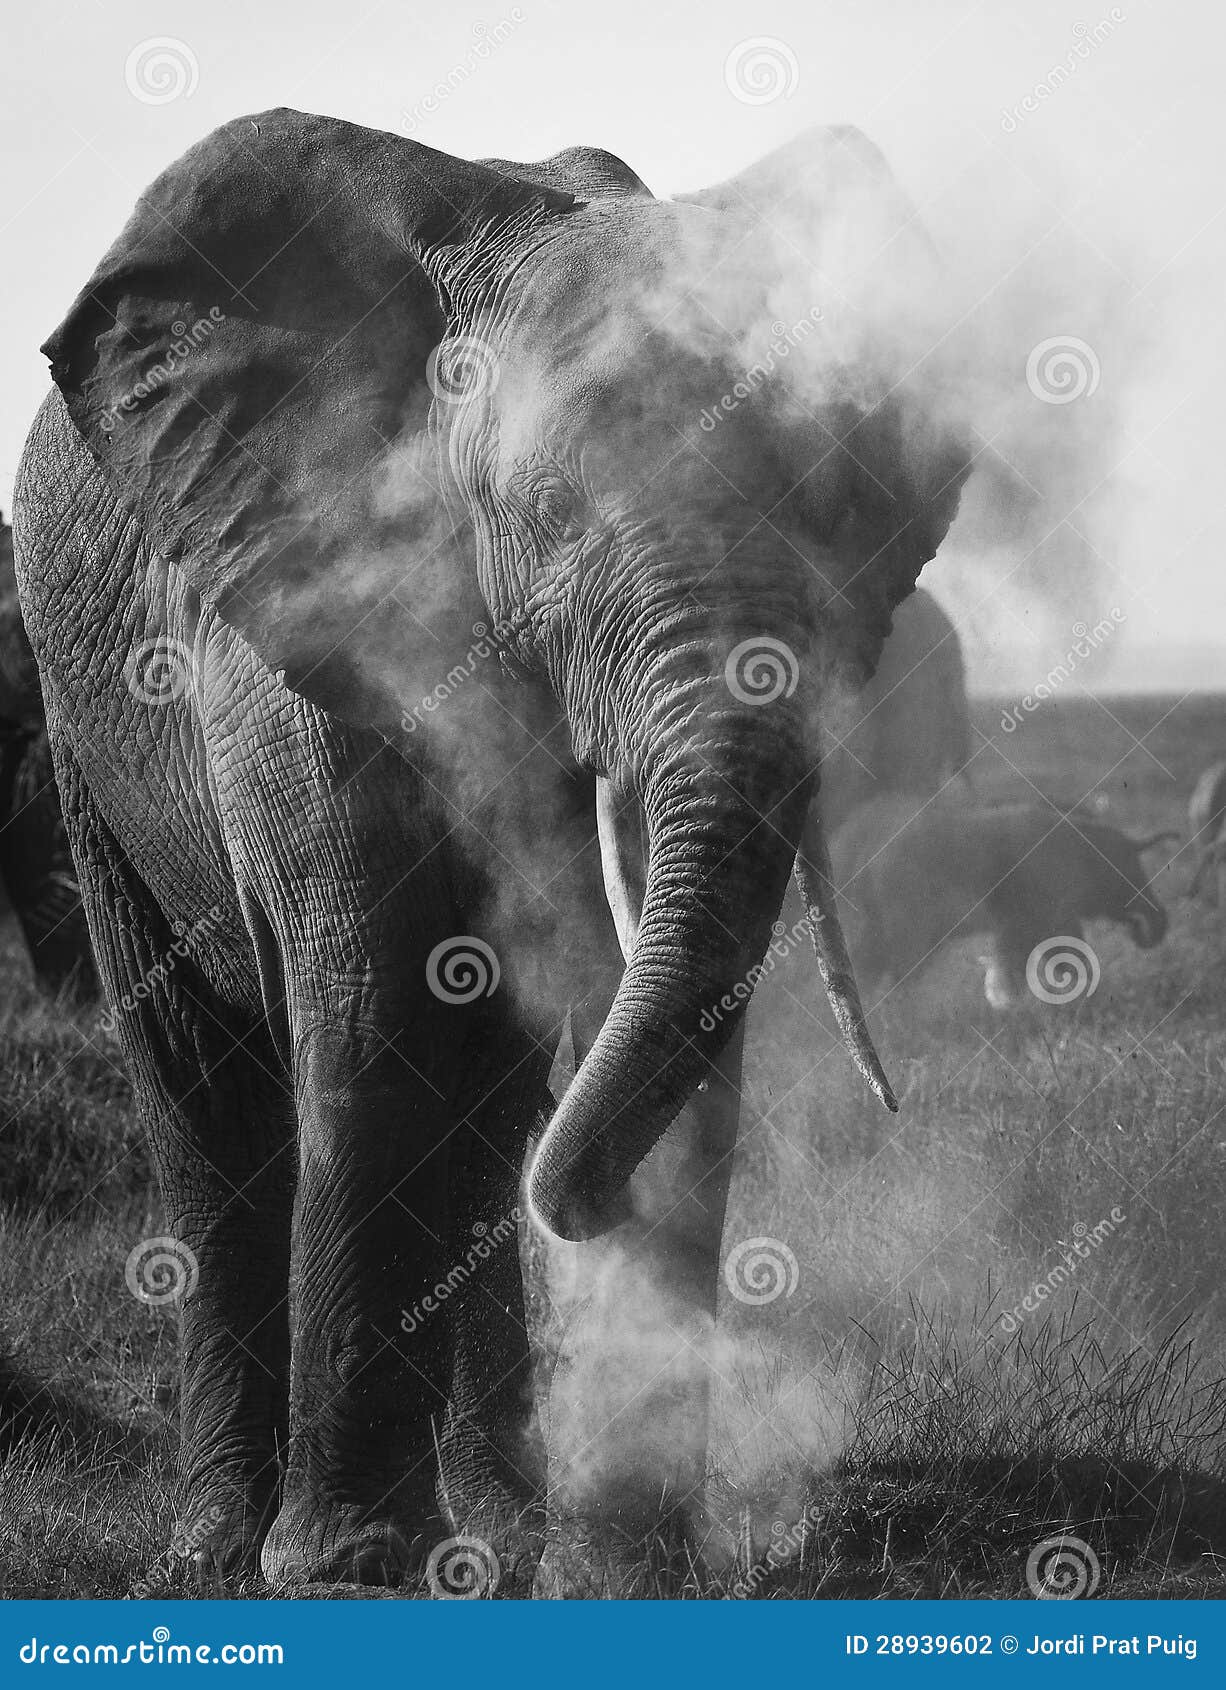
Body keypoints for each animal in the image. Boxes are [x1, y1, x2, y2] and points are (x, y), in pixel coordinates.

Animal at [833, 794, 1174, 1007]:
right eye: (1128, 864)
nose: (1160, 920)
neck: (1078, 853)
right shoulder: (1052, 920)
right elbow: (1069, 965)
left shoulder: (1028, 926)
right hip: (908, 935)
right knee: (891, 976)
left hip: (884, 933)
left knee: (868, 969)